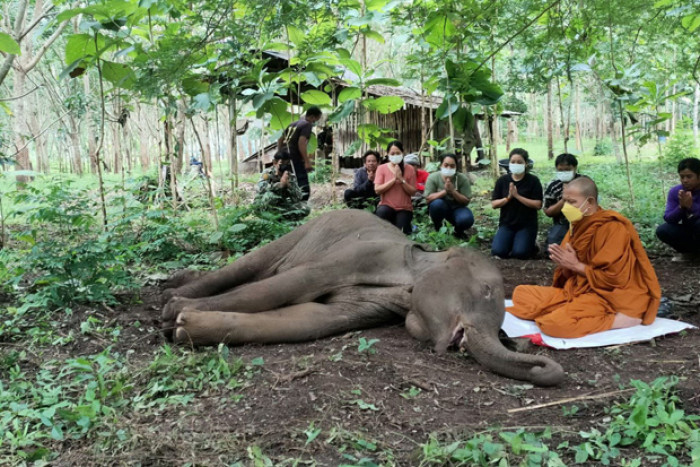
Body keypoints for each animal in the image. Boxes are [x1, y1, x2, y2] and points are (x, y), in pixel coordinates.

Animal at [162, 209, 564, 387]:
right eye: (487, 291)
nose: (534, 355)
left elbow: (312, 319)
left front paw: (184, 327)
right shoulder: (359, 255)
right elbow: (295, 285)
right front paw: (174, 316)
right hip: (300, 233)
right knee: (252, 266)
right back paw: (172, 295)